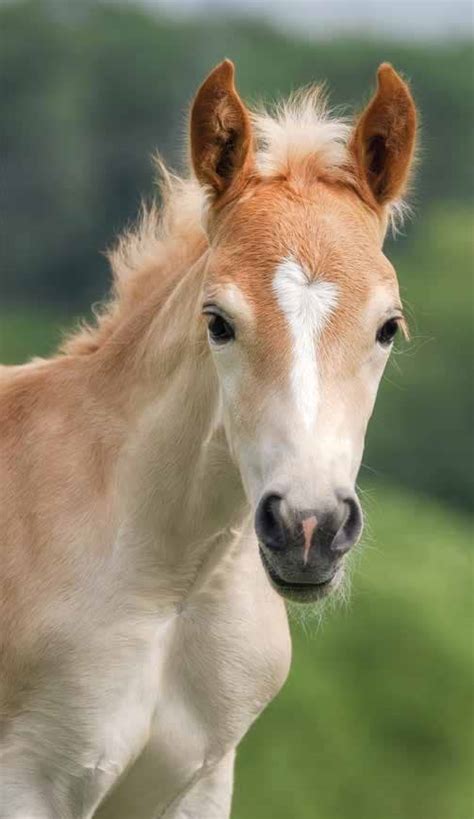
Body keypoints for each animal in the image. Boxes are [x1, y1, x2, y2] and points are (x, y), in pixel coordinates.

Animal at [0, 60, 417, 818]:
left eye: (388, 326)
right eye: (217, 320)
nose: (309, 528)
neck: (171, 583)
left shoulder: (201, 782)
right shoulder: (27, 782)